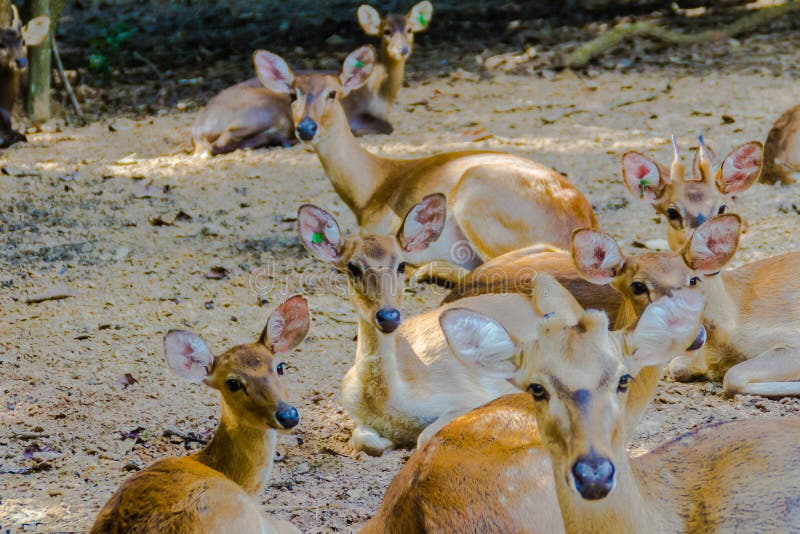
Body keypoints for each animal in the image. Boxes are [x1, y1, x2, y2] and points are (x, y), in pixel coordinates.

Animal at [191, 2, 433, 157]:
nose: (402, 49)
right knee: (215, 145)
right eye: (386, 31)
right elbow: (387, 126)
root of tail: (199, 127)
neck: (377, 95)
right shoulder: (355, 114)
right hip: (263, 110)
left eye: (410, 29)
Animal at [260, 45, 596, 275]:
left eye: (332, 93)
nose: (306, 128)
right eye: (292, 95)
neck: (370, 188)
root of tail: (580, 225)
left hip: (477, 197)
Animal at [296, 195, 567, 456]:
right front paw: (386, 442)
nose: (388, 316)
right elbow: (362, 440)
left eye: (401, 264)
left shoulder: (468, 395)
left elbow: (423, 437)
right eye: (352, 267)